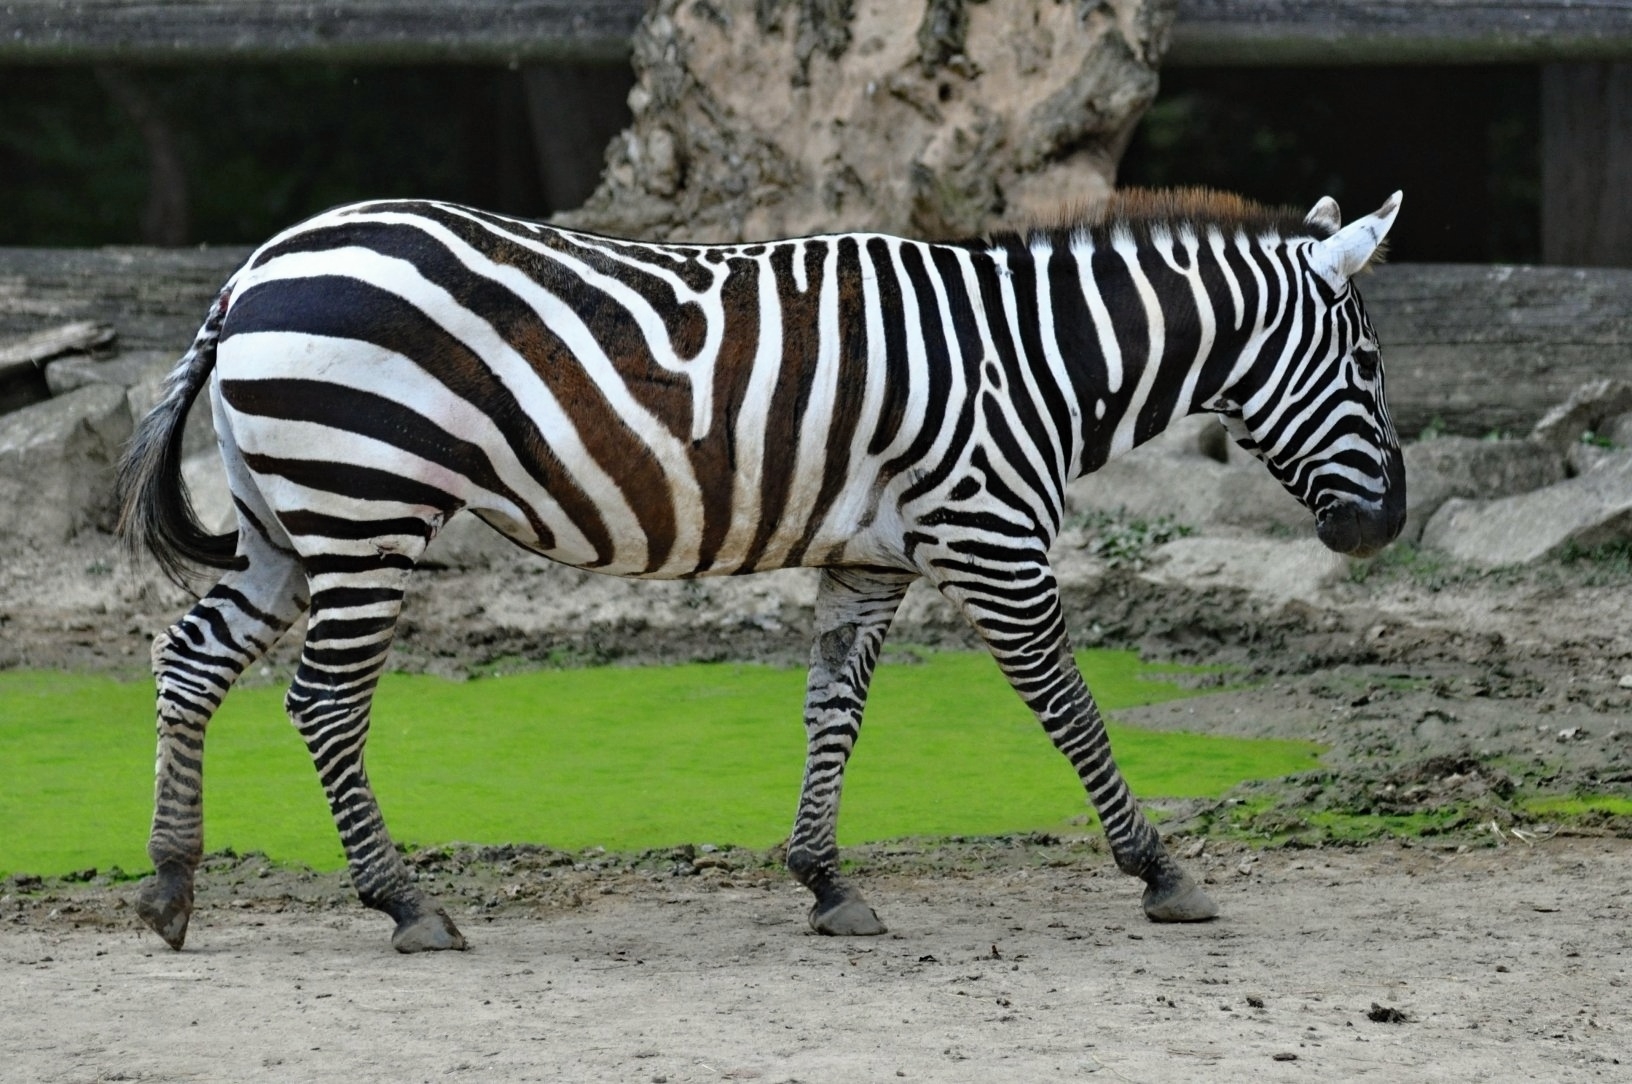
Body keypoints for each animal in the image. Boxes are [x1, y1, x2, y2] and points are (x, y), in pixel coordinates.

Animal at [118, 187, 1404, 952]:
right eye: (1370, 363)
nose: (1384, 526)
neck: (1031, 361)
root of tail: (250, 271)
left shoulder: (870, 557)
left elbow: (834, 712)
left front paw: (826, 881)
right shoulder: (990, 537)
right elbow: (1071, 711)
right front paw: (1163, 871)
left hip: (288, 518)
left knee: (190, 660)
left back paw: (171, 888)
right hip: (364, 504)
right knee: (324, 700)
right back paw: (406, 902)